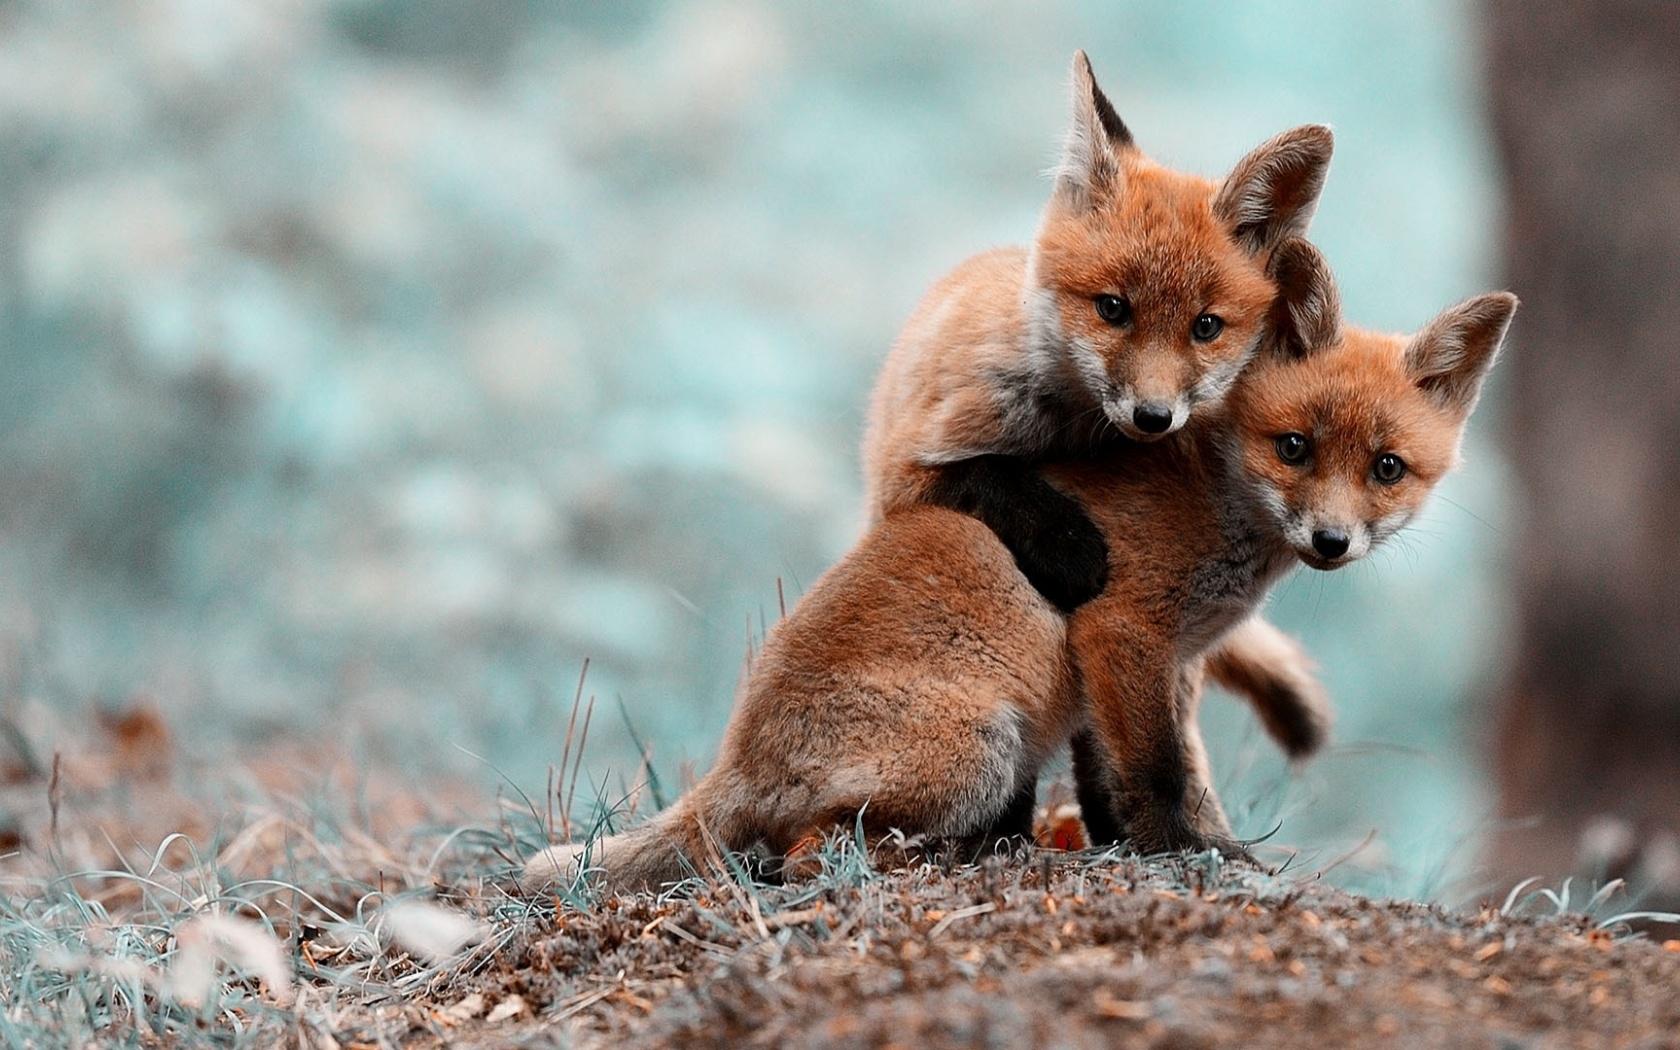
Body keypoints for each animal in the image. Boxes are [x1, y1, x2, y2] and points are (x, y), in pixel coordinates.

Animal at [520, 240, 1518, 891]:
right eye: (1296, 448)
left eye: (1386, 468)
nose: (1331, 543)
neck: (1215, 499)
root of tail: (737, 751)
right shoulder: (1122, 631)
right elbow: (1159, 775)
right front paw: (1191, 856)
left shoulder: (1164, 664)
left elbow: (1136, 778)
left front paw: (1165, 845)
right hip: (981, 750)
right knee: (799, 854)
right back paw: (937, 857)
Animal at [863, 51, 1336, 763]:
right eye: (1113, 309)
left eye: (1206, 327)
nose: (1154, 416)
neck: (1068, 430)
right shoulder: (910, 472)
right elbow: (988, 476)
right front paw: (1071, 546)